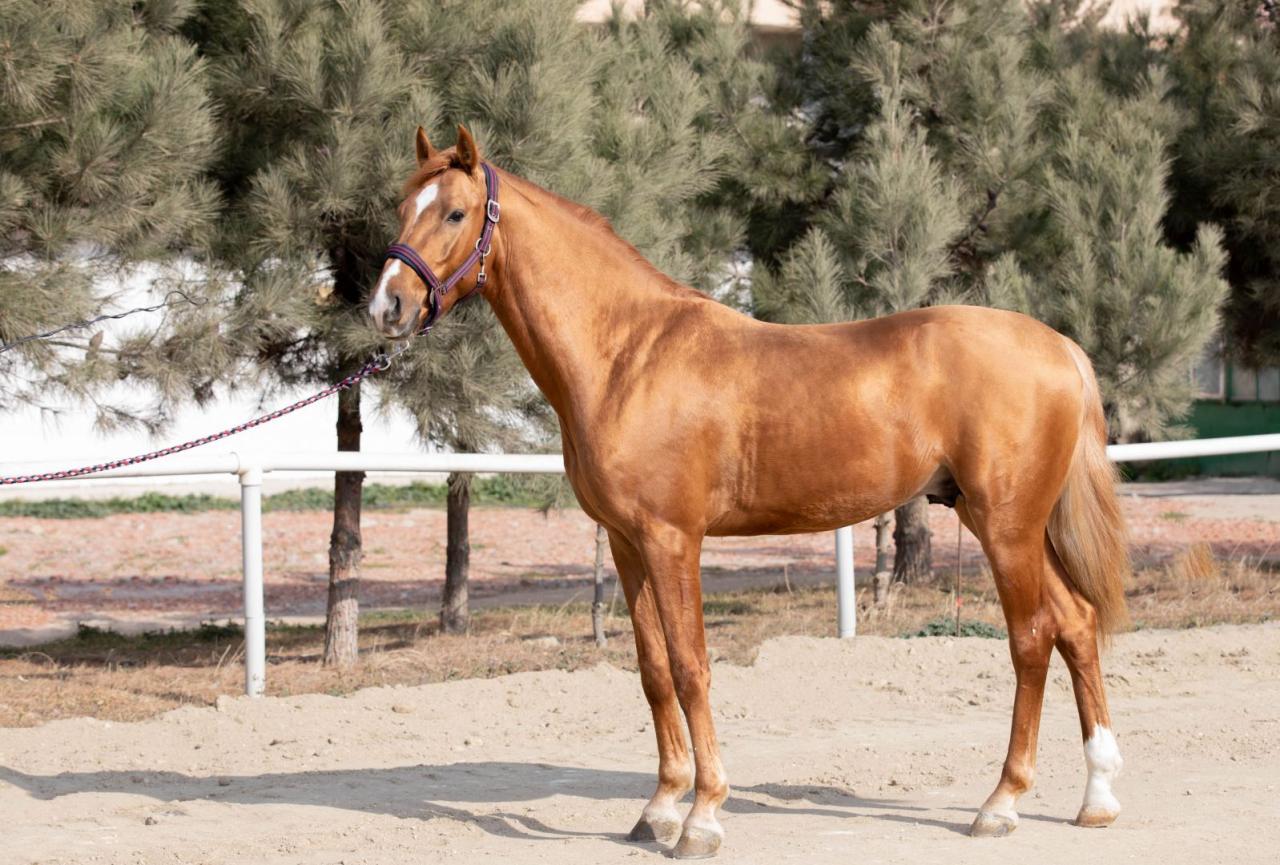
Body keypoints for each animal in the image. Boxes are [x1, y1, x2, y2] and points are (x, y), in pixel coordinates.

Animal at [369, 125, 1130, 858]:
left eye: (456, 212)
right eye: (403, 206)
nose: (387, 307)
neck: (628, 354)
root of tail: (1060, 347)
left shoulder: (673, 540)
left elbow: (691, 667)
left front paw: (702, 817)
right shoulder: (626, 542)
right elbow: (652, 670)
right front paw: (658, 807)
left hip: (1008, 526)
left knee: (1032, 639)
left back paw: (1000, 803)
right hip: (999, 521)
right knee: (1076, 623)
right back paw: (1096, 797)